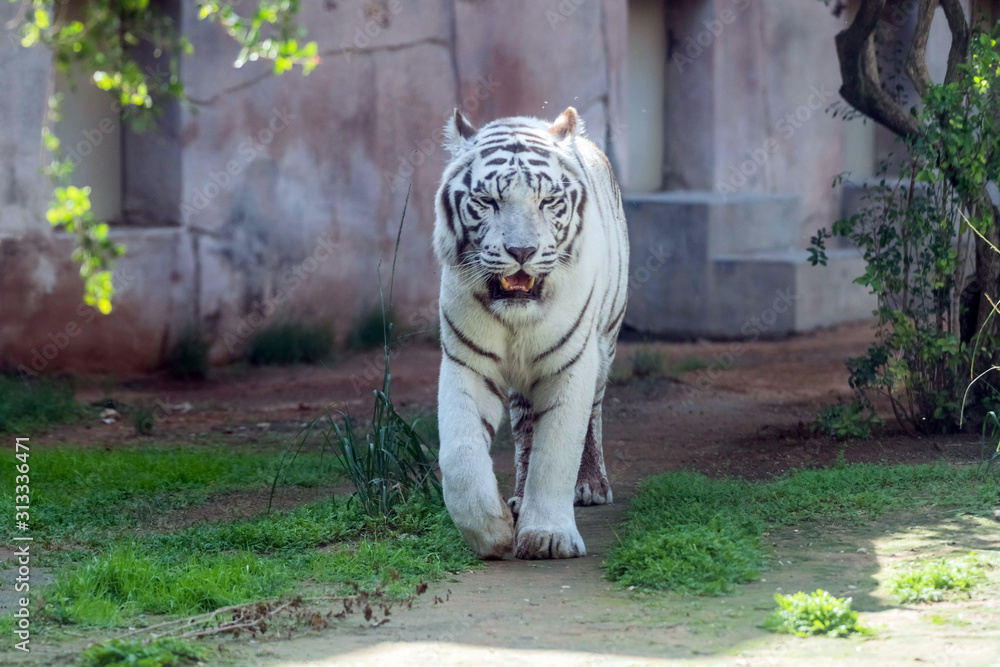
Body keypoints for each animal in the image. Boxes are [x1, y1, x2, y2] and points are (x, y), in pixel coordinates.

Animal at [433, 106, 630, 560]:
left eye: (547, 201)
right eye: (487, 201)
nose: (521, 252)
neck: (516, 318)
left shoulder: (570, 363)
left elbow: (556, 450)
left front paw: (548, 537)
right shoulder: (466, 361)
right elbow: (460, 454)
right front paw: (491, 531)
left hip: (604, 344)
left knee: (591, 417)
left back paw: (590, 485)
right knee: (524, 433)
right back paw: (519, 499)